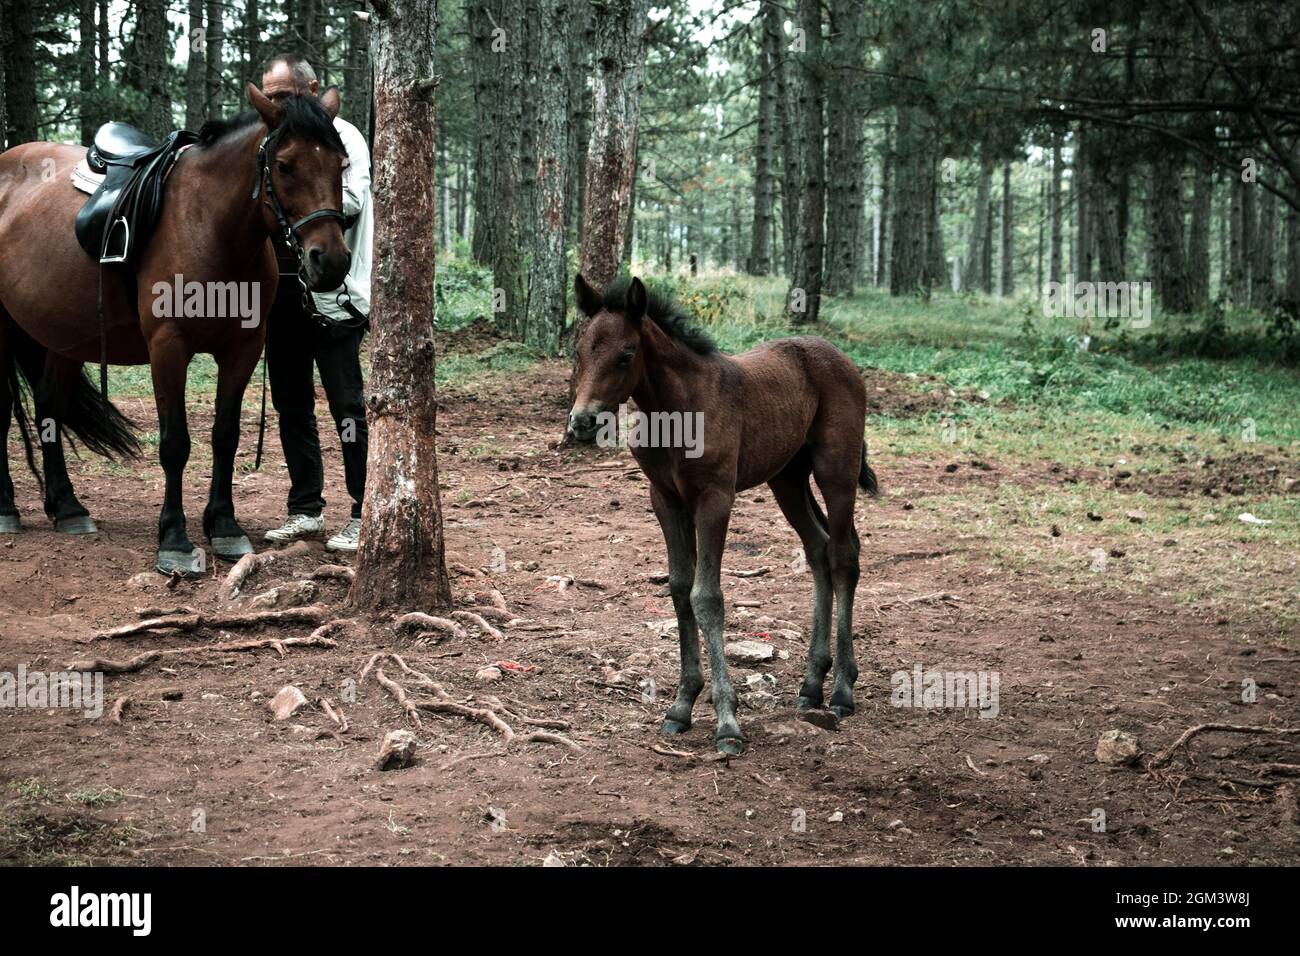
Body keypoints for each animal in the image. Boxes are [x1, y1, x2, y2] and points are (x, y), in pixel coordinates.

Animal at [0, 83, 351, 574]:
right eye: (284, 165)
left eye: (341, 164)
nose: (331, 261)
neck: (209, 226)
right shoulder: (169, 348)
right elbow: (175, 444)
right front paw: (175, 539)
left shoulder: (243, 348)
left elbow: (225, 436)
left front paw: (224, 526)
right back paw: (7, 509)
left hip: (66, 335)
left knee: (49, 404)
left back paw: (68, 509)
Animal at [567, 274, 878, 755]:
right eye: (579, 351)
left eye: (627, 353)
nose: (581, 422)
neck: (677, 411)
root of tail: (840, 356)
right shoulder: (665, 499)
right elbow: (680, 588)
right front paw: (681, 706)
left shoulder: (715, 498)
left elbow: (706, 596)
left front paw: (727, 722)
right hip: (787, 478)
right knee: (820, 550)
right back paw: (811, 684)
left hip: (836, 471)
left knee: (843, 556)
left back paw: (843, 689)